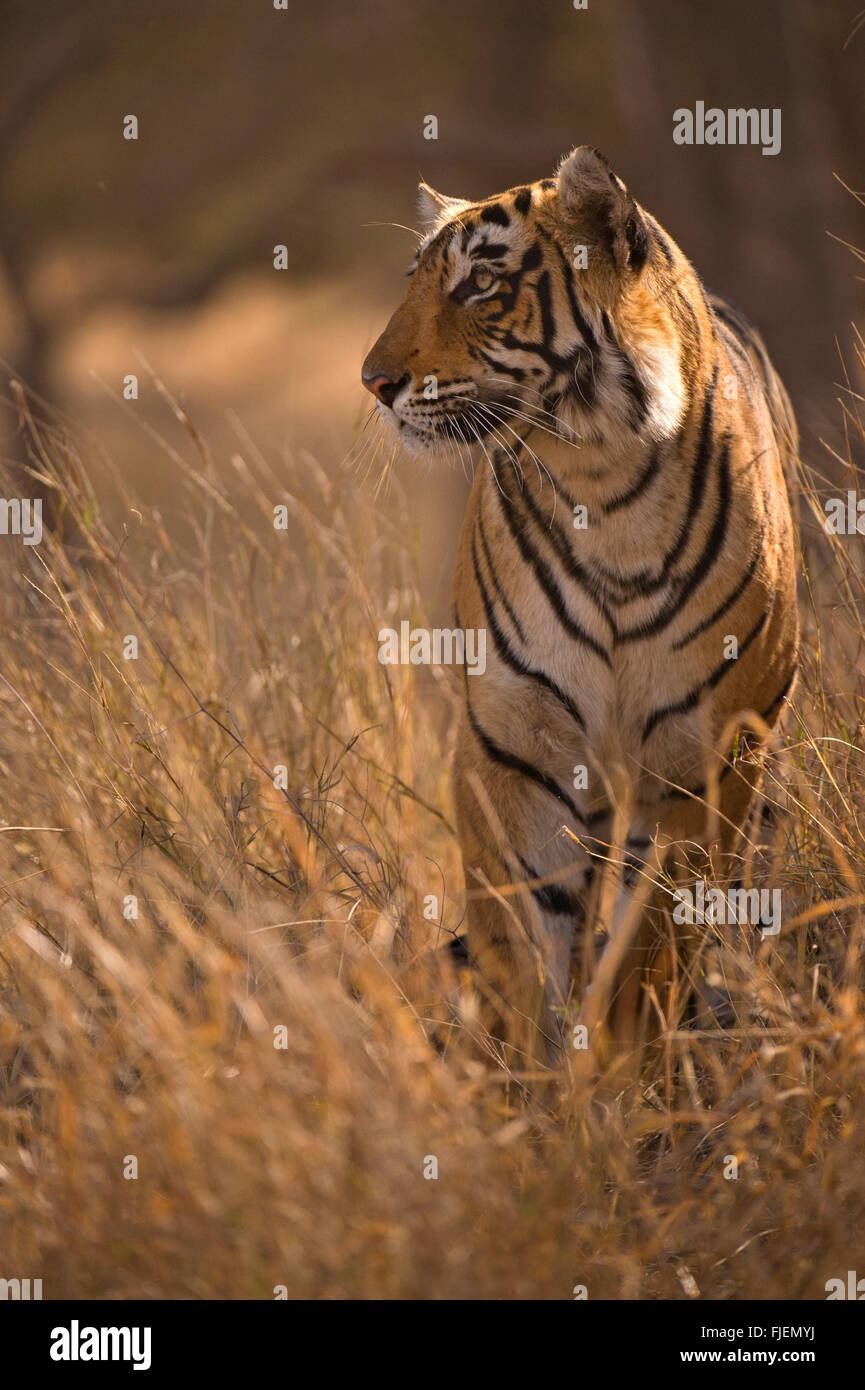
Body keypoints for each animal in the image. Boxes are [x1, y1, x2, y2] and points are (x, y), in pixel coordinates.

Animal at [361, 145, 800, 1068]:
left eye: (479, 284)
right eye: (415, 280)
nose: (373, 381)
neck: (605, 486)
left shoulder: (701, 762)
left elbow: (654, 945)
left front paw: (624, 1074)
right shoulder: (514, 748)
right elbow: (521, 946)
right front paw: (526, 1083)